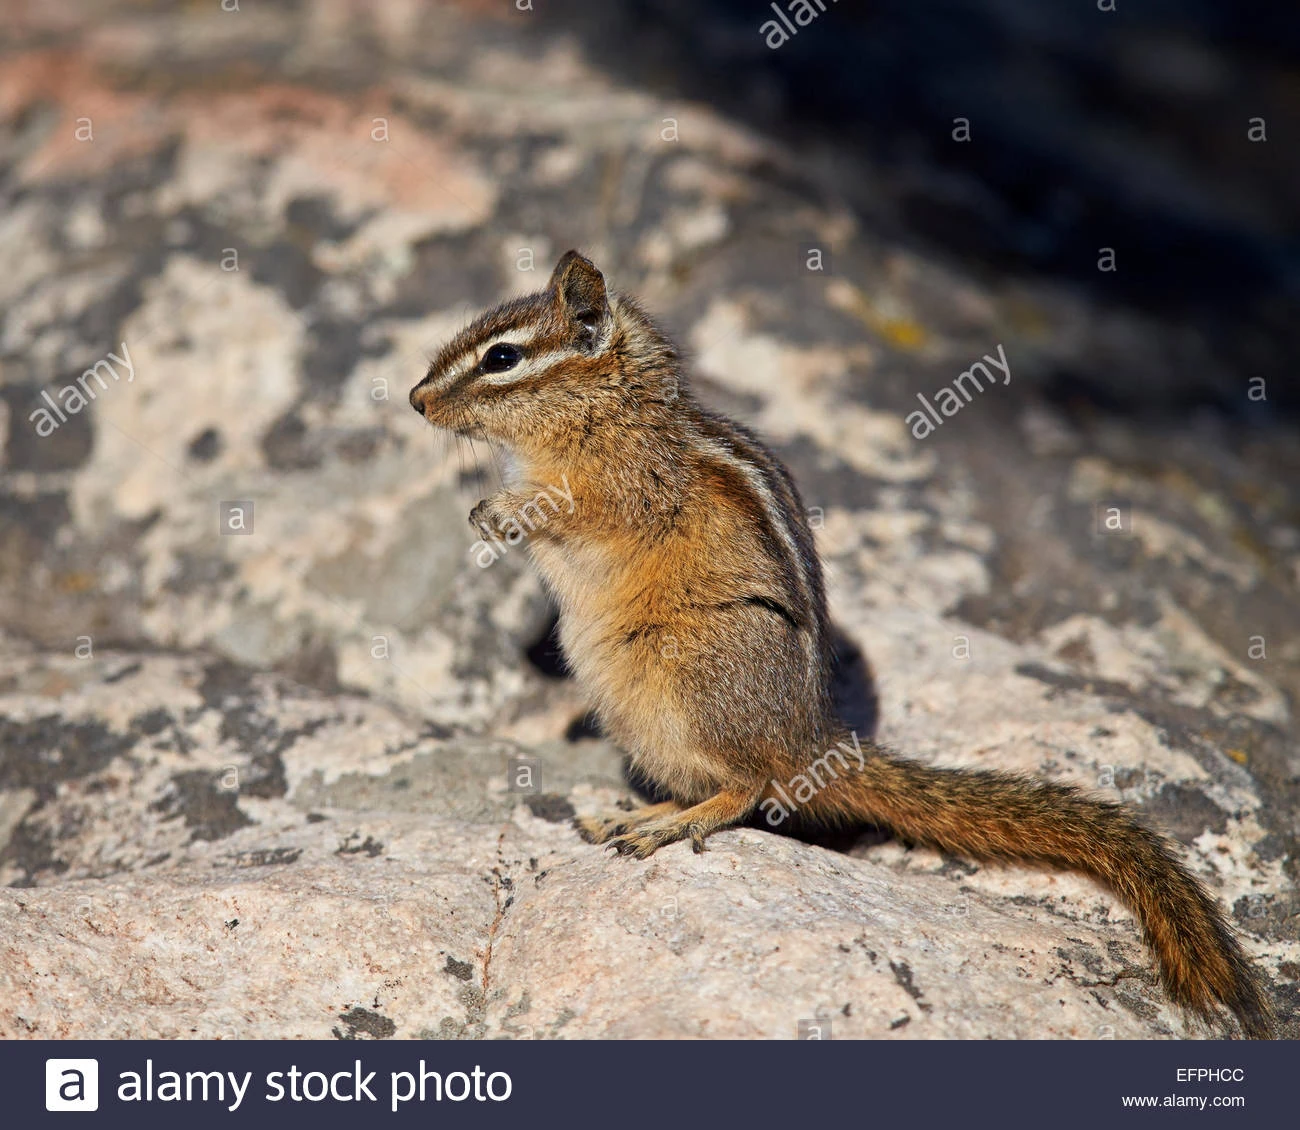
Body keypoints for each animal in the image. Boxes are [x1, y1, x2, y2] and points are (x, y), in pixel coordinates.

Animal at [409, 249, 1274, 1039]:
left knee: (749, 789)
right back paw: (631, 811)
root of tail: (814, 743)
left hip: (692, 679)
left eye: (502, 358)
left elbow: (573, 510)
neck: (606, 409)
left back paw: (670, 823)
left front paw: (499, 511)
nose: (414, 400)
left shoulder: (620, 487)